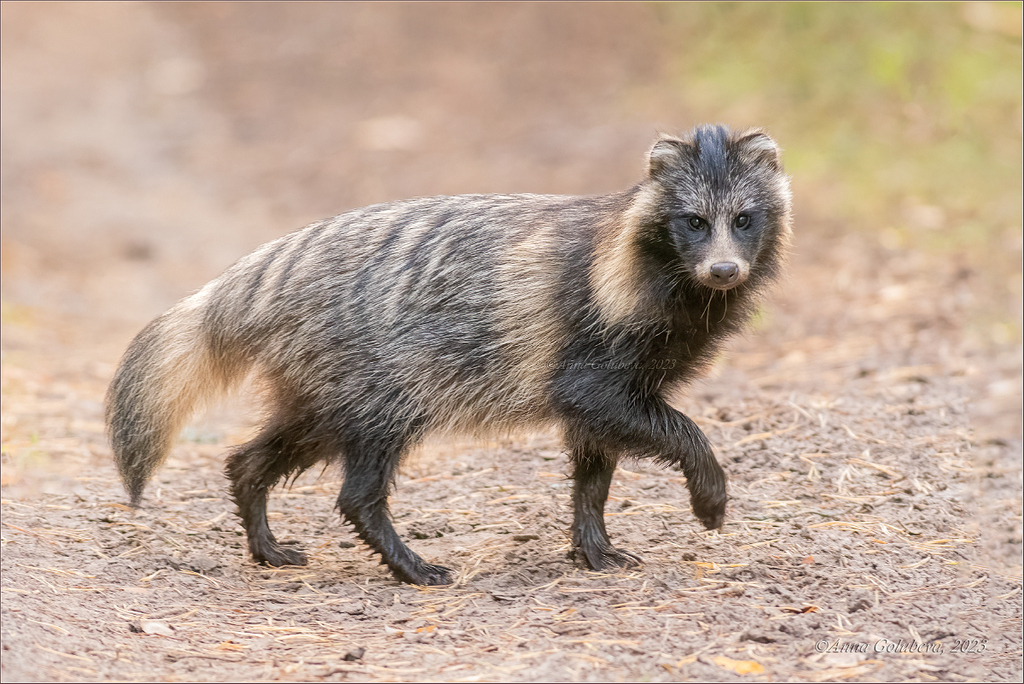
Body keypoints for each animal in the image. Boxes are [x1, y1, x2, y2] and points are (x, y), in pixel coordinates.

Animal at [106, 124, 791, 585]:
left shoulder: (621, 371)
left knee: (260, 453)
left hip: (319, 386)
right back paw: (413, 565)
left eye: (745, 217)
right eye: (693, 221)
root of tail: (266, 273)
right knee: (359, 487)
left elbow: (594, 467)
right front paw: (710, 497)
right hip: (378, 373)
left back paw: (267, 543)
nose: (724, 270)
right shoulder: (591, 342)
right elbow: (650, 421)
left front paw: (595, 548)